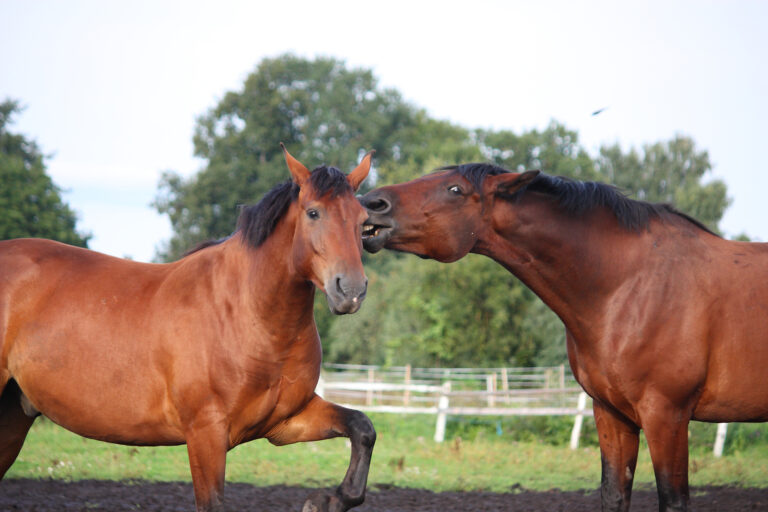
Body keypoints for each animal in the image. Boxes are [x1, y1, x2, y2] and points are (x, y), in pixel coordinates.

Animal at [0, 145, 376, 512]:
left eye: (363, 221)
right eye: (313, 213)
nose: (351, 291)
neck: (249, 318)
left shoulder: (285, 422)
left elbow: (363, 428)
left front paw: (324, 501)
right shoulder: (205, 434)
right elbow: (212, 503)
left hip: (14, 415)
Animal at [359, 163, 768, 512]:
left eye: (455, 189)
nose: (372, 203)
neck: (629, 284)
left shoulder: (666, 416)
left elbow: (673, 500)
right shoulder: (612, 414)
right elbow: (614, 495)